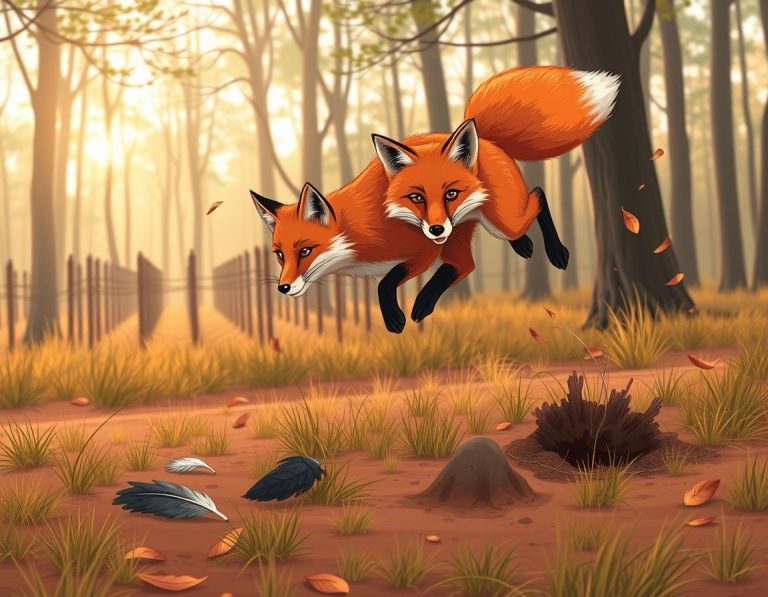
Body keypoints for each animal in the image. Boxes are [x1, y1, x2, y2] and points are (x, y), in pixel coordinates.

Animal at [251, 66, 620, 332]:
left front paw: (393, 318)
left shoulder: (421, 249)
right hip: (470, 231)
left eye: (305, 251)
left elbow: (385, 282)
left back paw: (554, 250)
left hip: (499, 222)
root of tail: (484, 139)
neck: (356, 232)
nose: (283, 288)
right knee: (466, 264)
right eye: (280, 255)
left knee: (538, 197)